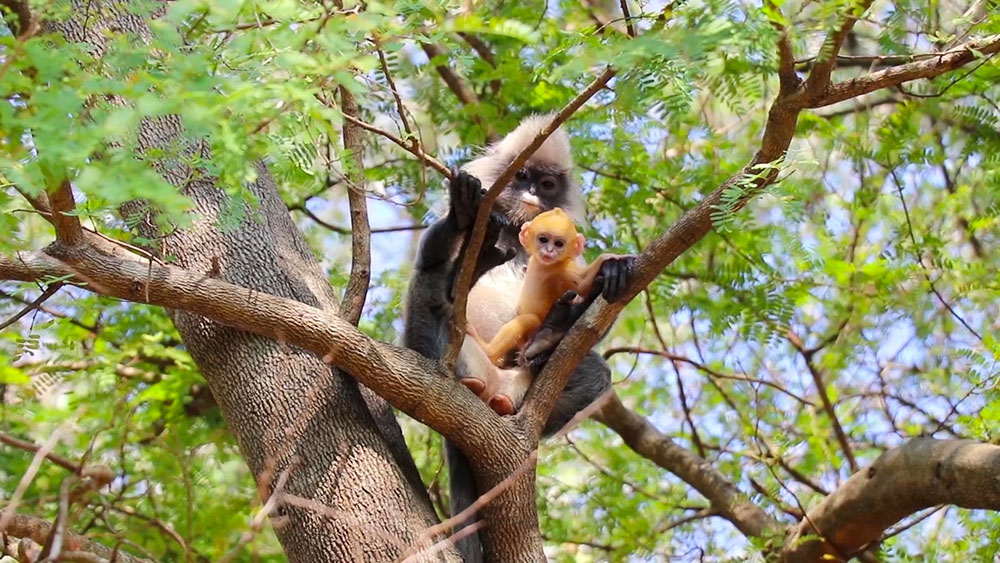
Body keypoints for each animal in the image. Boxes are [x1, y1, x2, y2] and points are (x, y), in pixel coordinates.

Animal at [403, 115, 634, 563]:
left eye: (546, 184)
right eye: (522, 176)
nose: (531, 193)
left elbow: (591, 324)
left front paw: (609, 273)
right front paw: (462, 215)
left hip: (522, 384)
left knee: (594, 372)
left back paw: (540, 352)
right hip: (437, 348)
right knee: (430, 287)